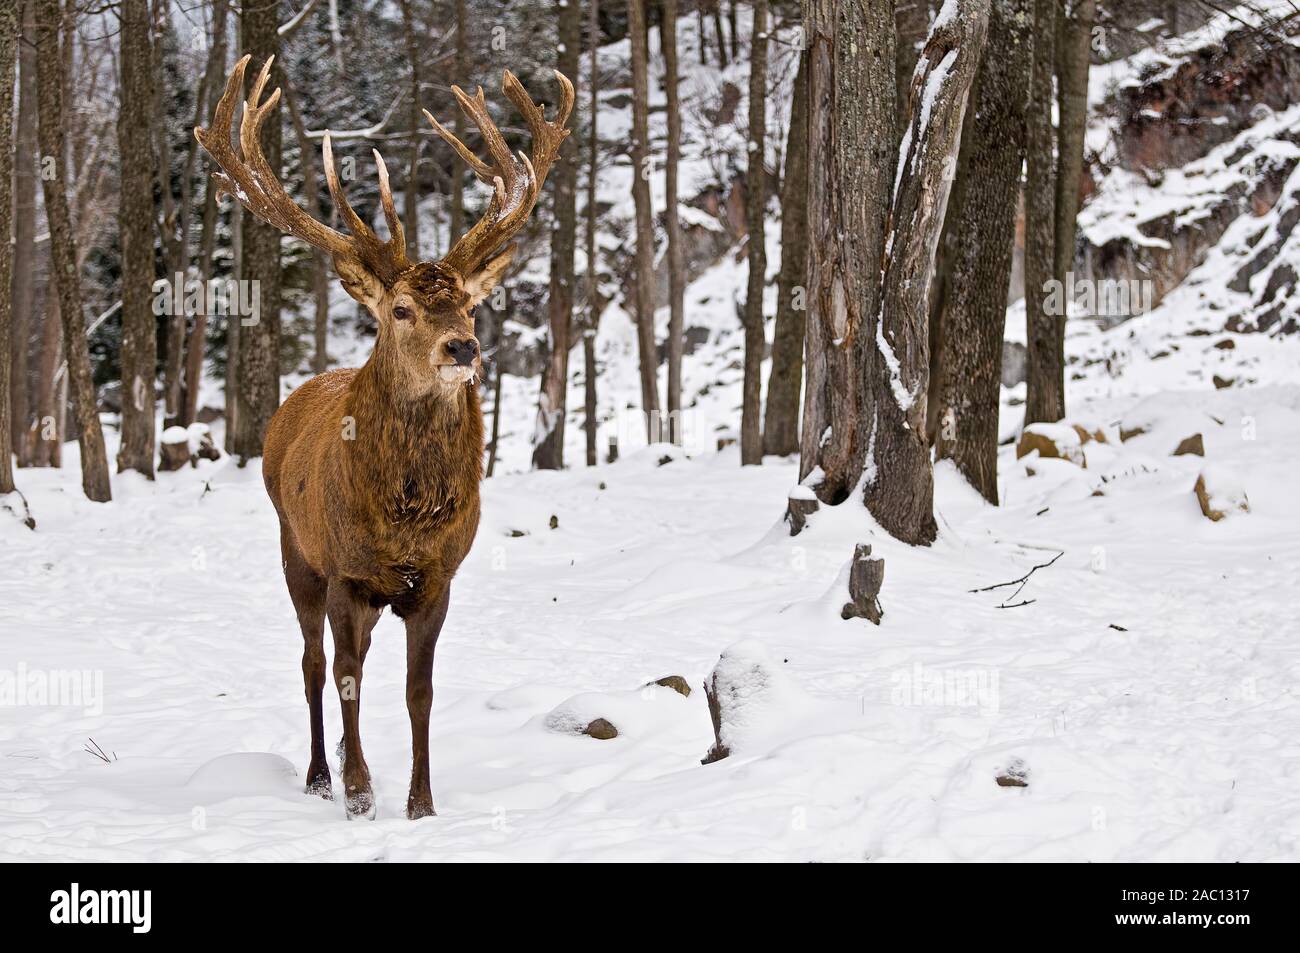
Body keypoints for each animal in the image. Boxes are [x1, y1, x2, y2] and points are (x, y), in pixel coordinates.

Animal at [195, 55, 572, 820]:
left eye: (469, 302)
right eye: (400, 309)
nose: (464, 347)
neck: (405, 518)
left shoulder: (436, 580)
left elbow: (417, 690)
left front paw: (421, 801)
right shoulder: (344, 569)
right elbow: (343, 677)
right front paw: (360, 791)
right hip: (297, 553)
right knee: (314, 664)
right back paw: (322, 771)